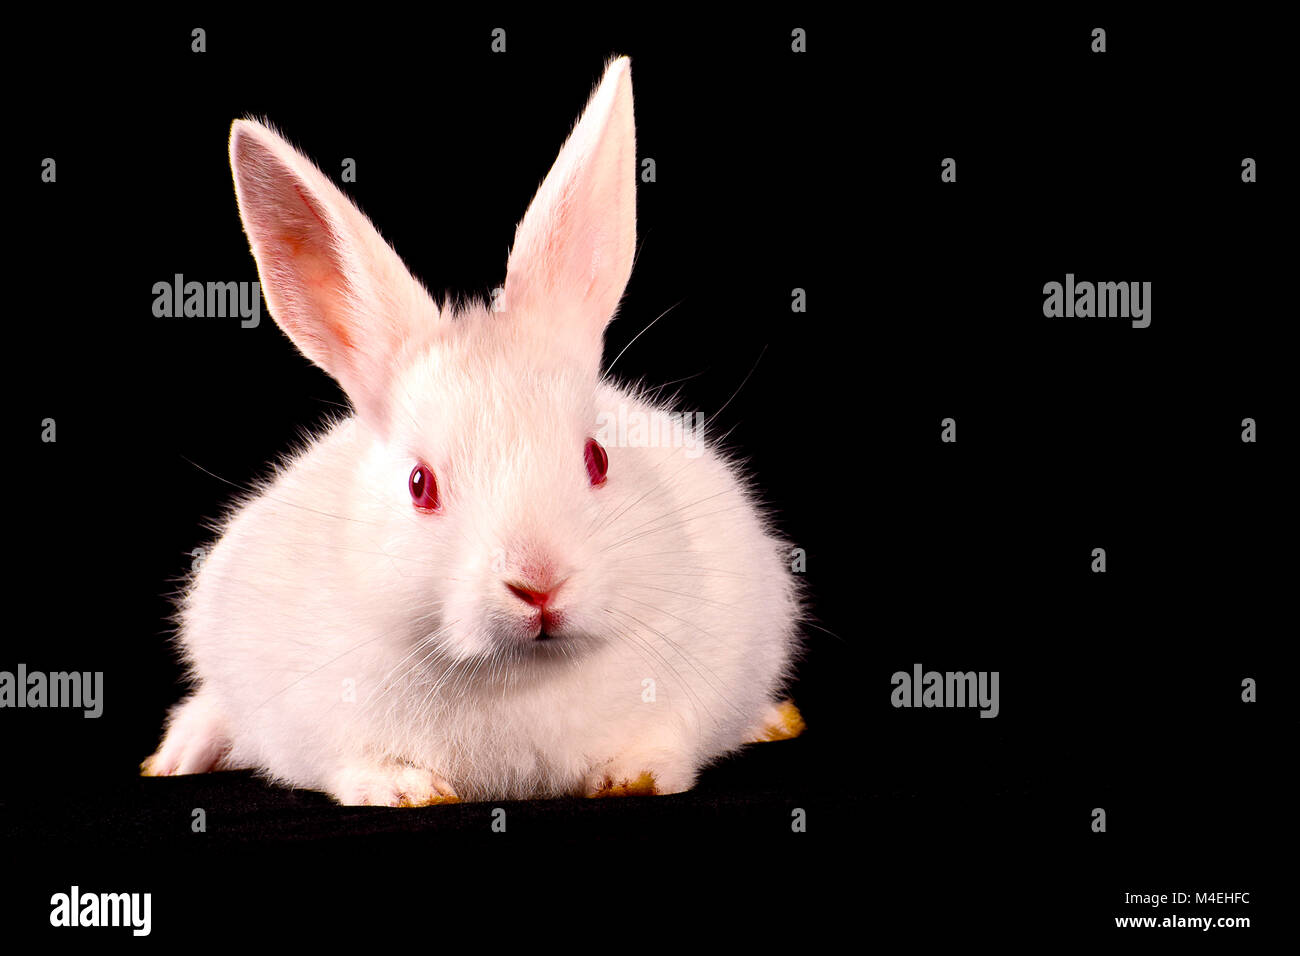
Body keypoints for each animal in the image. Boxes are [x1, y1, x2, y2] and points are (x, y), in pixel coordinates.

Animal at [142, 56, 805, 806]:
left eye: (598, 459)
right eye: (419, 484)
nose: (539, 585)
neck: (518, 677)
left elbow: (668, 738)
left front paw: (633, 775)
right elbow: (349, 760)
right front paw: (403, 789)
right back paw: (179, 755)